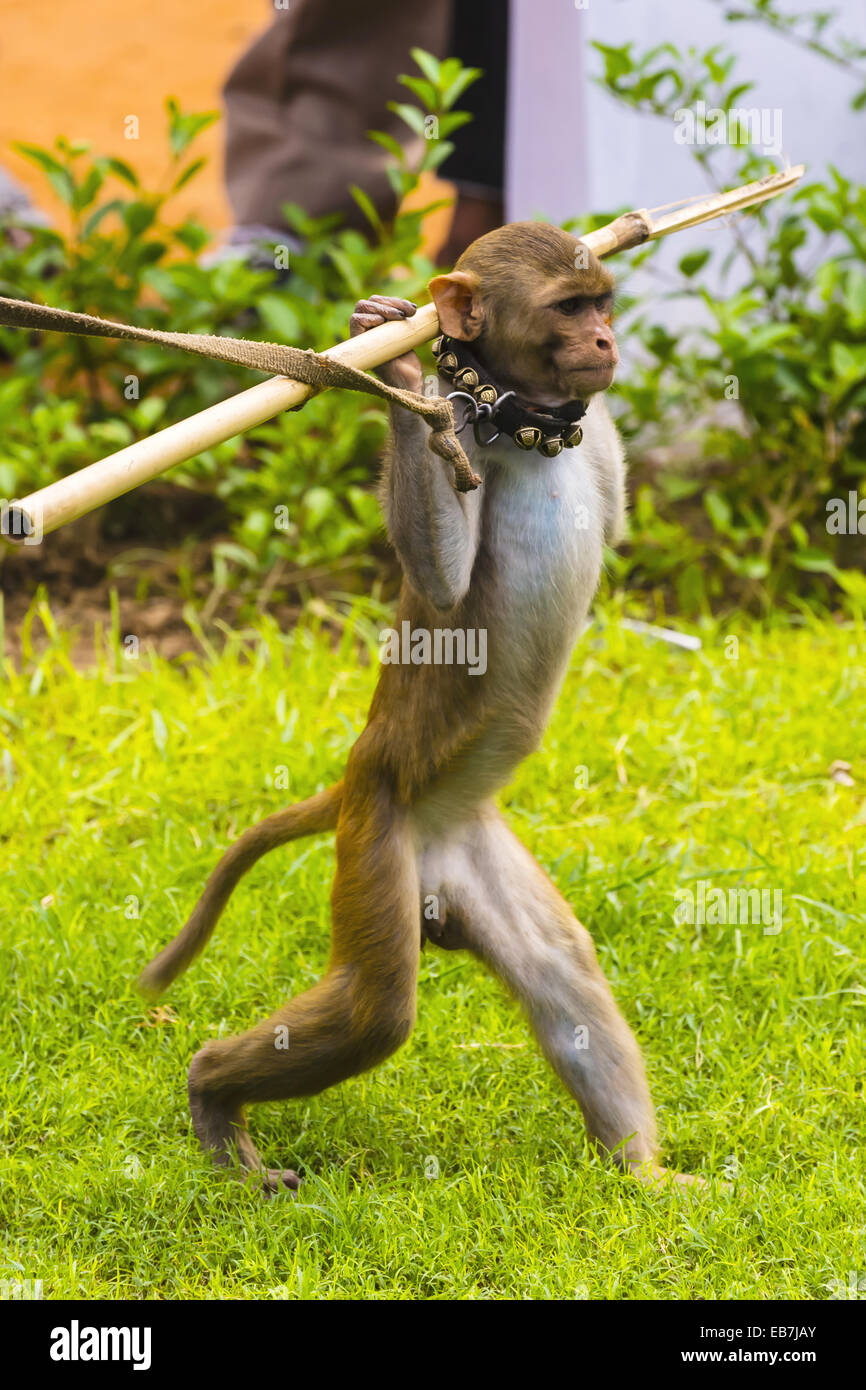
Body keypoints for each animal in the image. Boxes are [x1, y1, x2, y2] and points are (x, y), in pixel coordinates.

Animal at [139, 222, 705, 1194]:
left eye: (601, 304)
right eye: (569, 308)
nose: (604, 342)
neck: (527, 427)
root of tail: (360, 777)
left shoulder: (594, 430)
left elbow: (617, 519)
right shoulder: (465, 437)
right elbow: (442, 588)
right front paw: (398, 367)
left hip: (465, 847)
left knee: (559, 970)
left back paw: (641, 1177)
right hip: (378, 832)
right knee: (376, 1011)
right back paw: (211, 1090)